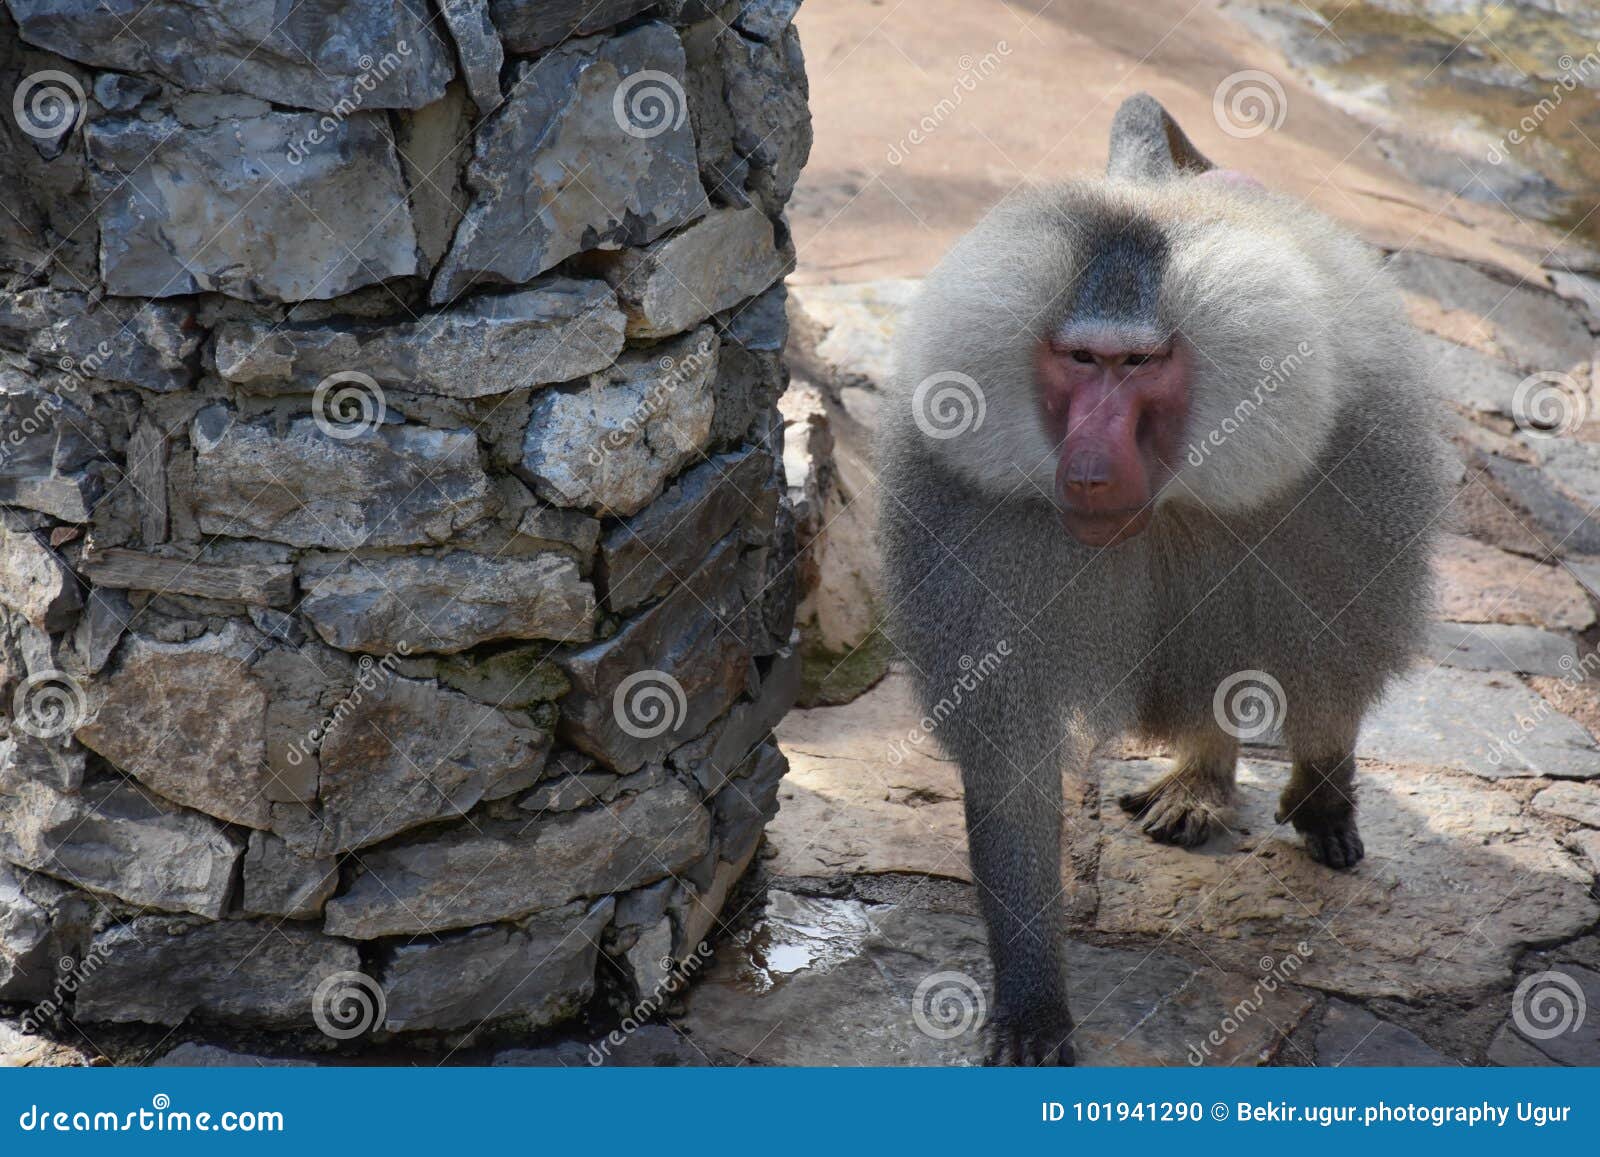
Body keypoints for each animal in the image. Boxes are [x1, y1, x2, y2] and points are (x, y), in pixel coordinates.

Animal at [878, 94, 1451, 1065]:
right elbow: (1012, 769)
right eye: (1080, 360)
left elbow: (1331, 658)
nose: (1088, 468)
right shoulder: (969, 521)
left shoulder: (1342, 477)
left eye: (1139, 365)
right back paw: (1200, 783)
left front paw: (1325, 791)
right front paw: (1033, 1007)